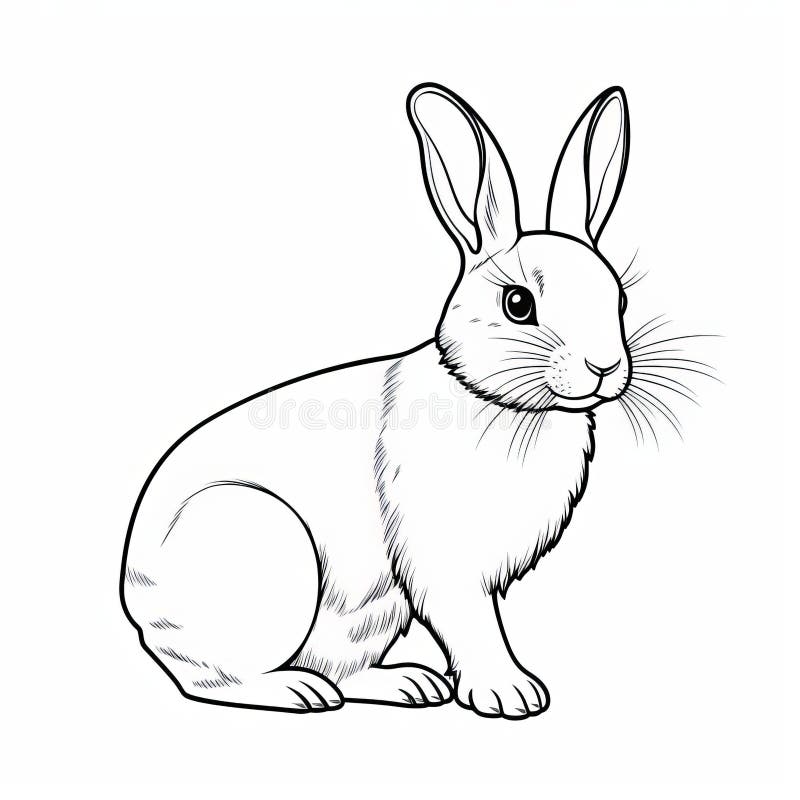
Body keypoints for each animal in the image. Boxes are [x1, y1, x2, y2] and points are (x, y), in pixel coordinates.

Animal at [121, 82, 632, 719]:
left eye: (619, 300)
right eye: (518, 304)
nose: (605, 368)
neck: (489, 397)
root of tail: (136, 602)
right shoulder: (444, 560)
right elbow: (475, 626)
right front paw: (510, 694)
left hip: (370, 617)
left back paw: (407, 684)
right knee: (214, 679)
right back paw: (295, 692)